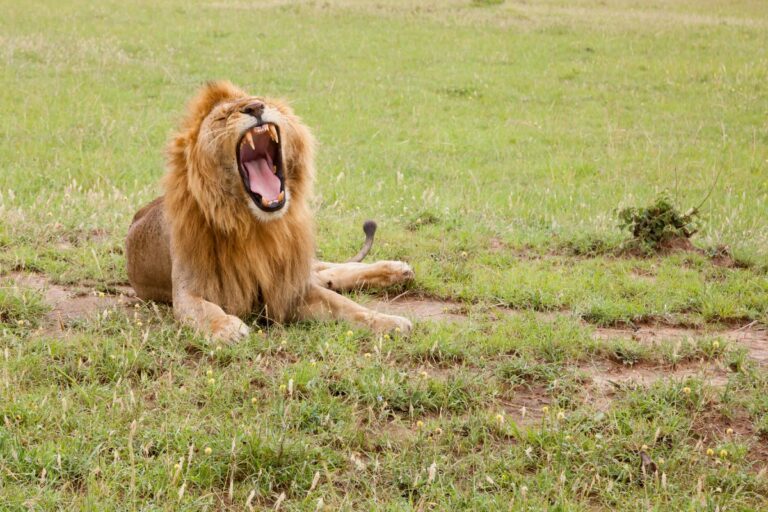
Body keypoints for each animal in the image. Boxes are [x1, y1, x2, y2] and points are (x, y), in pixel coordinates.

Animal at [125, 81, 415, 342]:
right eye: (223, 116)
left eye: (262, 100)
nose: (255, 107)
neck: (254, 225)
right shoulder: (187, 289)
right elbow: (203, 309)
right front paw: (226, 329)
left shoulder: (288, 285)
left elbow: (348, 307)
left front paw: (389, 322)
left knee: (329, 271)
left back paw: (395, 269)